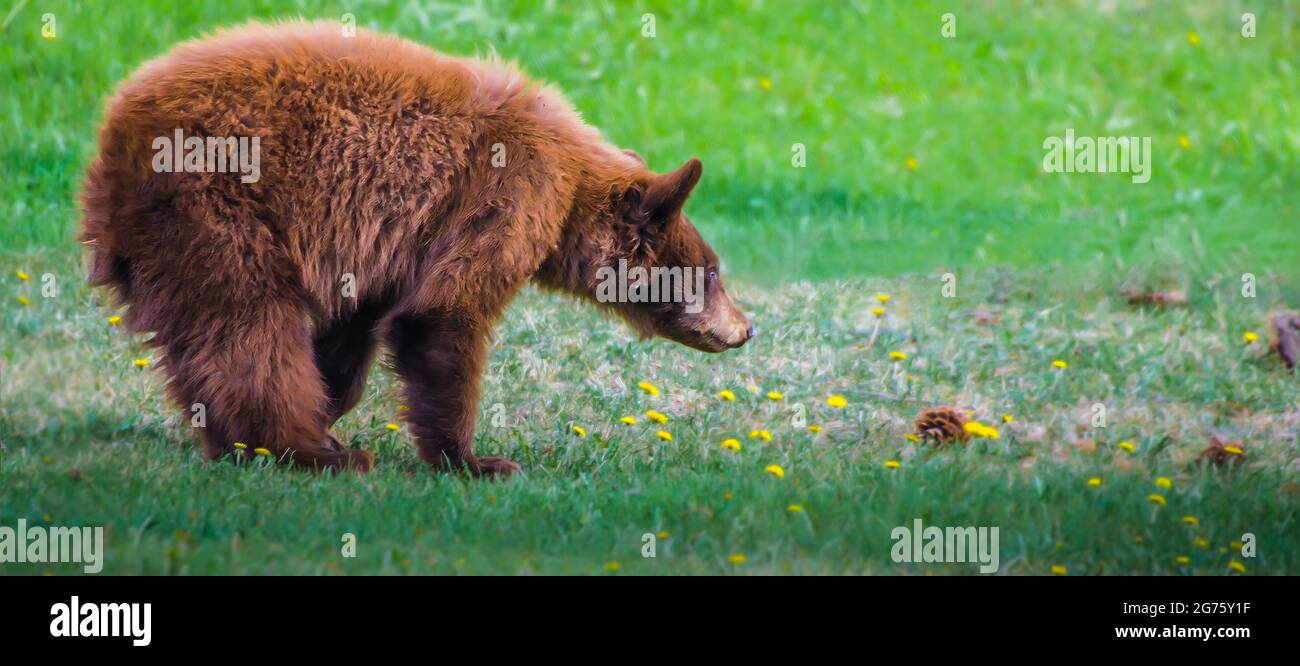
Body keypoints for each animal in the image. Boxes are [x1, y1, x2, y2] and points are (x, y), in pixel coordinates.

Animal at [79, 21, 753, 477]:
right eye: (713, 274)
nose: (746, 328)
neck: (571, 196)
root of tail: (112, 135)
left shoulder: (388, 247)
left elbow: (358, 328)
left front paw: (330, 407)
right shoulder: (506, 190)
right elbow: (443, 314)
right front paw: (475, 461)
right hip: (213, 202)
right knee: (247, 323)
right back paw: (303, 451)